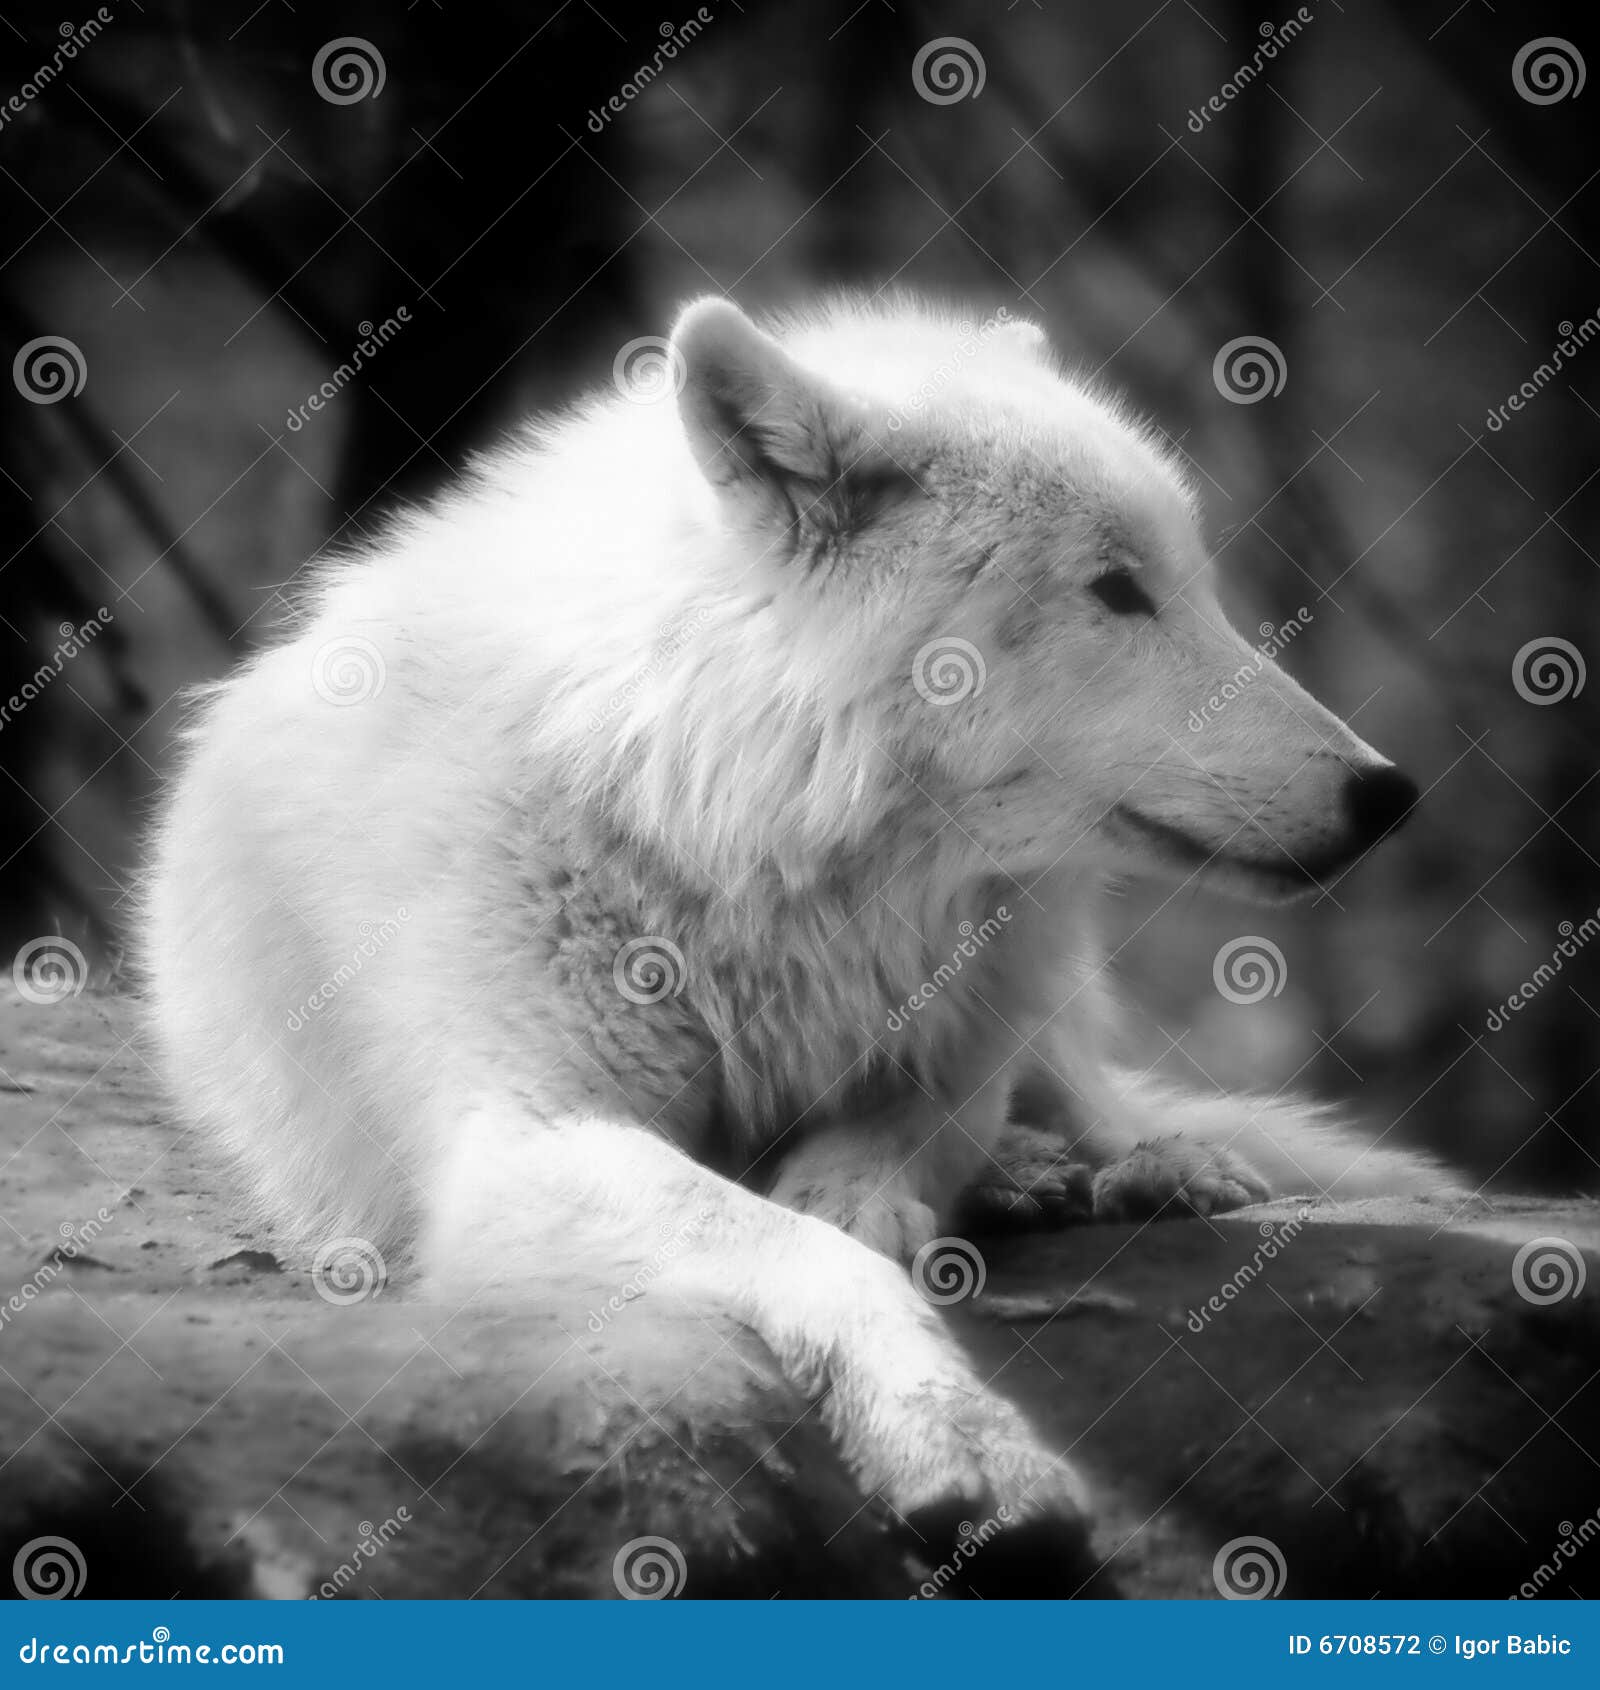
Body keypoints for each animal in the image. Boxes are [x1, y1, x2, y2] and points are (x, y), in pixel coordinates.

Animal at [143, 294, 1438, 1571]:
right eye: (1117, 590)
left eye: (1193, 583)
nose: (1388, 793)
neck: (731, 823)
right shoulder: (517, 1140)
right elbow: (810, 1249)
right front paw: (964, 1444)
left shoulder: (940, 1058)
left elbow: (872, 1165)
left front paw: (886, 1200)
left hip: (1044, 1001)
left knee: (1089, 1098)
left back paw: (1137, 1169)